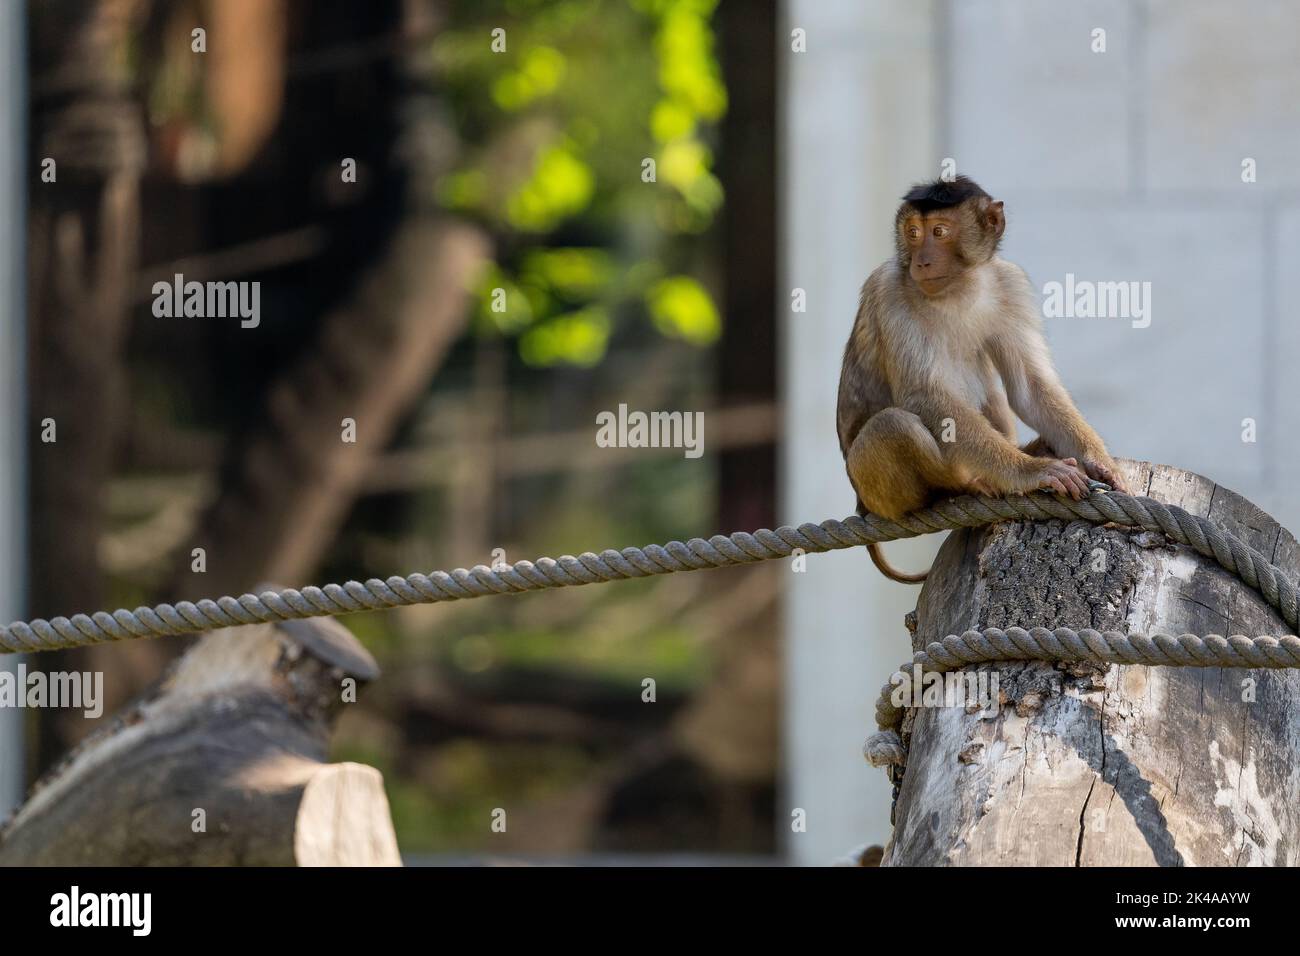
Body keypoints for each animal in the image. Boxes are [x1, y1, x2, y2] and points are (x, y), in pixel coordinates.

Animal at [837, 176, 1127, 584]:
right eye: (913, 233)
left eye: (939, 232)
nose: (922, 261)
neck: (958, 288)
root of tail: (860, 503)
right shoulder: (888, 289)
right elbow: (926, 397)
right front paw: (1032, 472)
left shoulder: (1010, 282)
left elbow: (1029, 386)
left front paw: (1099, 461)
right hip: (876, 490)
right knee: (894, 425)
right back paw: (968, 483)